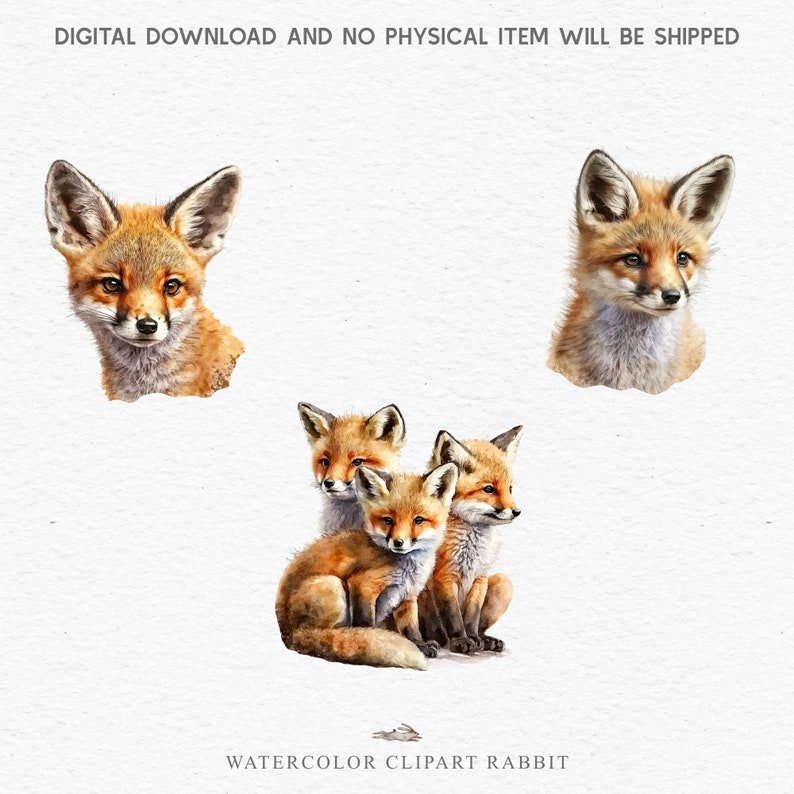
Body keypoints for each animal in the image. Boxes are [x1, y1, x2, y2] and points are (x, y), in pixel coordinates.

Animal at [276, 463, 458, 670]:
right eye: (388, 520)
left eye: (418, 520)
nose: (398, 543)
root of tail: (288, 634)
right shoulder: (362, 584)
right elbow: (365, 623)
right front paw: (369, 639)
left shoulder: (408, 596)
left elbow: (410, 627)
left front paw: (419, 644)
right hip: (334, 586)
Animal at [420, 426, 523, 655]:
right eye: (489, 489)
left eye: (510, 489)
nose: (516, 512)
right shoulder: (444, 577)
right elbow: (453, 616)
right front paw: (460, 640)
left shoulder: (480, 577)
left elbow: (472, 616)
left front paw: (474, 638)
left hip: (503, 582)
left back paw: (485, 639)